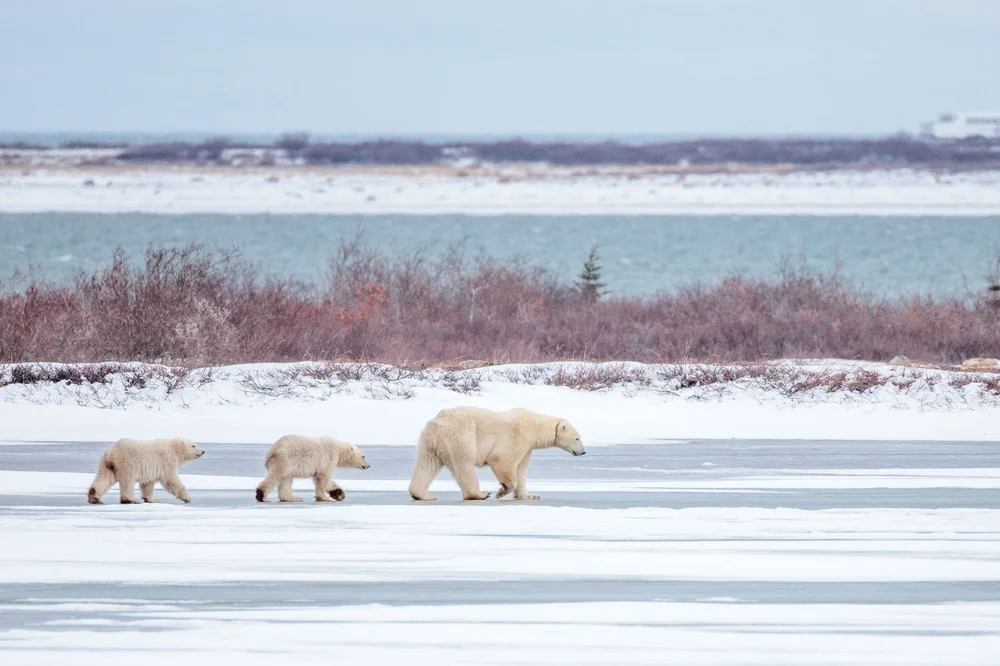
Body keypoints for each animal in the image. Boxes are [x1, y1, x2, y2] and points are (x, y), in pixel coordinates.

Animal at [408, 406, 586, 502]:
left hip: (429, 441)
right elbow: (502, 459)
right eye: (577, 438)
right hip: (460, 437)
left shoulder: (527, 448)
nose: (583, 452)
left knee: (426, 464)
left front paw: (530, 495)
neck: (535, 427)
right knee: (464, 466)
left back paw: (422, 495)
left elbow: (521, 469)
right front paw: (502, 491)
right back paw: (480, 494)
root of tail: (438, 423)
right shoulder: (518, 436)